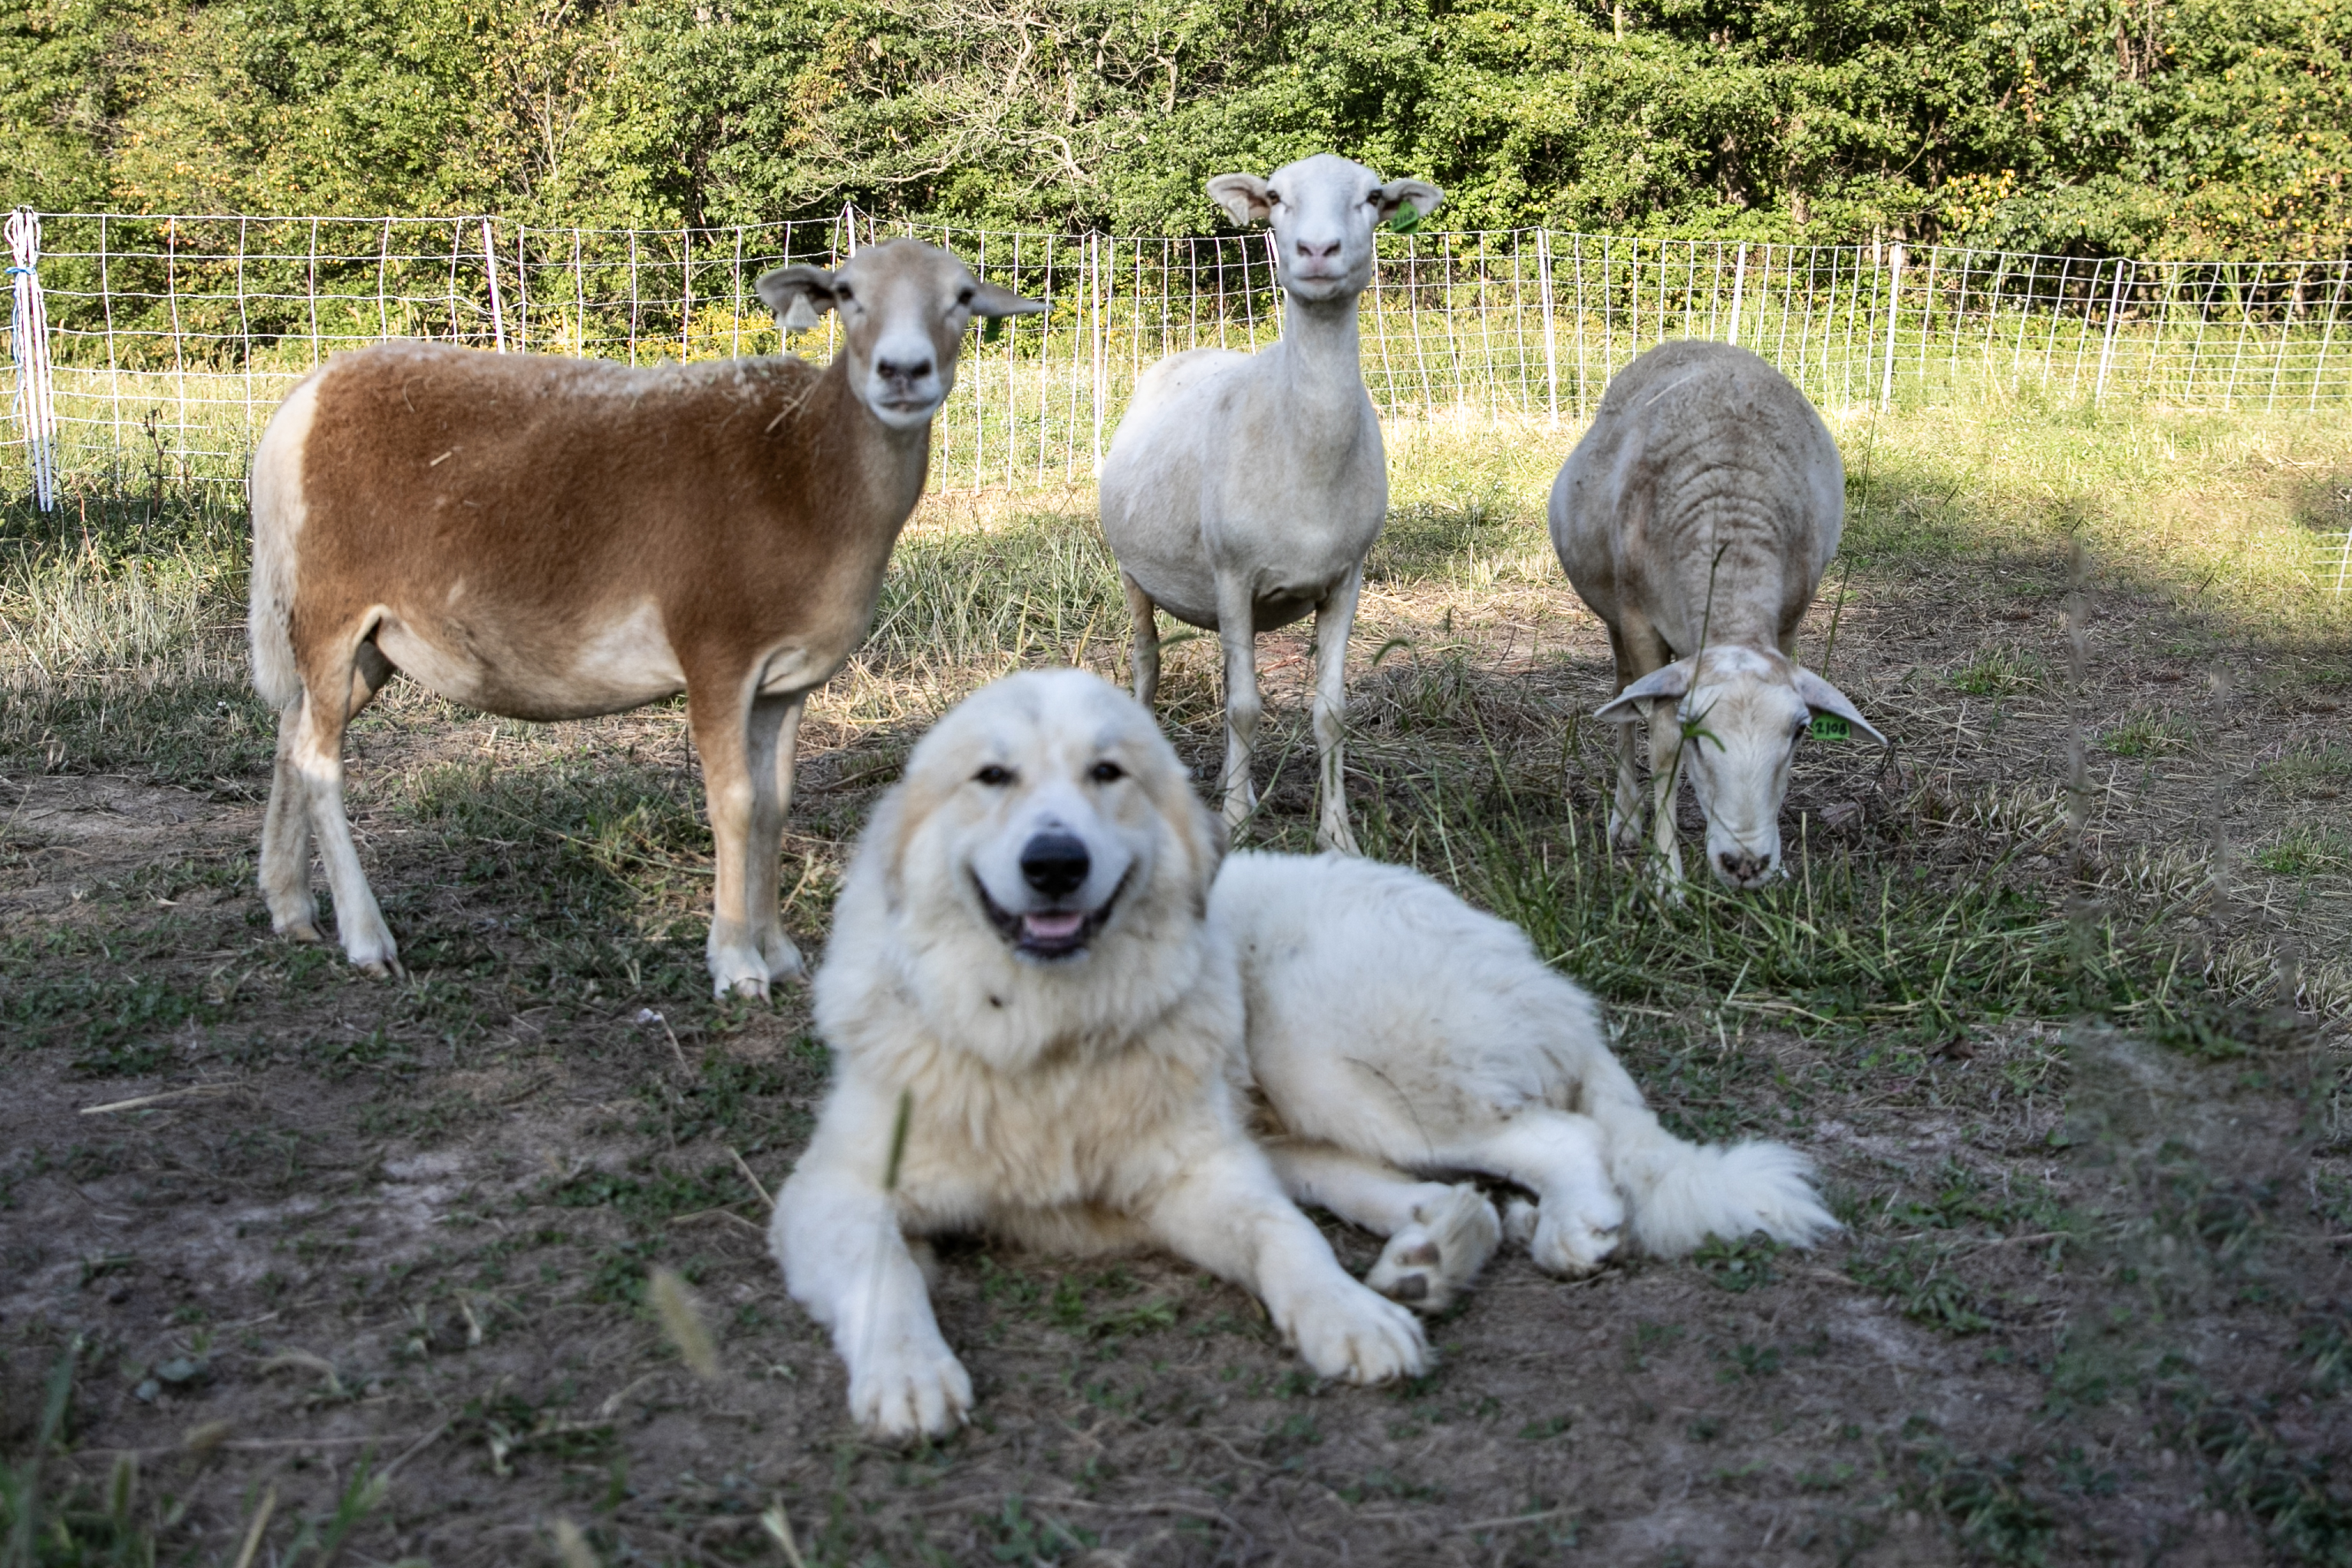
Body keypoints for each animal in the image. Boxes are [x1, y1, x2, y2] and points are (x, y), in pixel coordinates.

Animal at [247, 239, 1042, 995]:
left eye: (962, 297)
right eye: (847, 294)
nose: (902, 372)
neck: (809, 470)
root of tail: (297, 410)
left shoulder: (787, 681)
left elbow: (775, 805)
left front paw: (782, 954)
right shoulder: (716, 649)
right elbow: (734, 803)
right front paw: (738, 963)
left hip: (372, 641)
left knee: (292, 732)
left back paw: (290, 908)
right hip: (331, 605)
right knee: (319, 761)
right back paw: (365, 938)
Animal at [1099, 154, 1442, 853]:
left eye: (1374, 197)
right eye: (1277, 198)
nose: (1317, 250)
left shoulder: (1345, 578)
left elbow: (1329, 713)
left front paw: (1337, 833)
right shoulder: (1232, 573)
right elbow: (1245, 710)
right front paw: (1234, 823)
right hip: (1133, 572)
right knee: (1147, 663)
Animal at [1548, 341, 1885, 888]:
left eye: (1800, 731)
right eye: (1696, 735)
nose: (1745, 864)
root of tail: (1693, 342)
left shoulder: (1786, 624)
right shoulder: (1639, 621)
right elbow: (1662, 744)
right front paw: (1667, 878)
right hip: (1614, 615)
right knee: (1624, 697)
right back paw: (1626, 818)